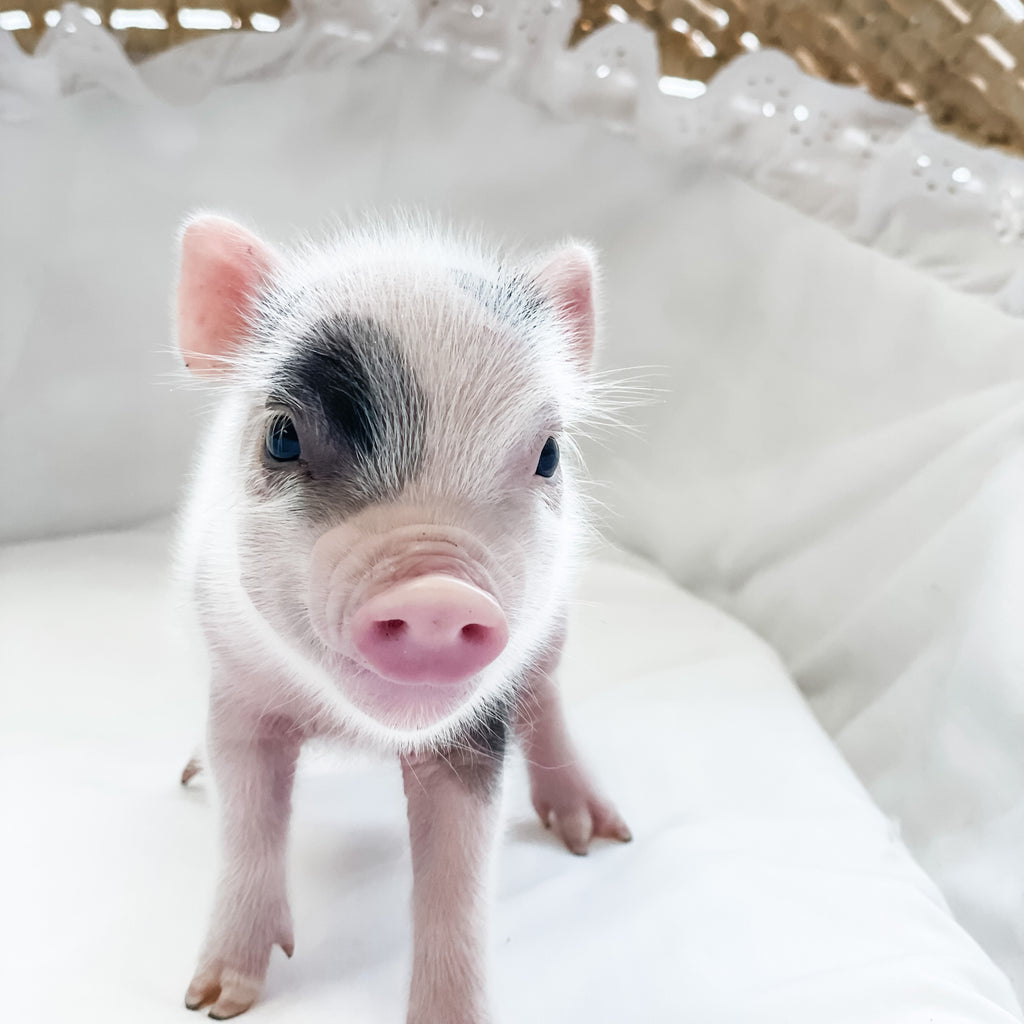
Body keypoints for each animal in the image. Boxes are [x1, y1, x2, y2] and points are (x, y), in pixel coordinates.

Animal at [174, 213, 631, 1023]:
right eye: (282, 436)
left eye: (547, 454)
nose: (439, 596)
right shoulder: (237, 686)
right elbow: (246, 821)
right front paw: (215, 1001)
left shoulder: (474, 731)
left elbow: (459, 885)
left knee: (545, 695)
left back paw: (594, 836)